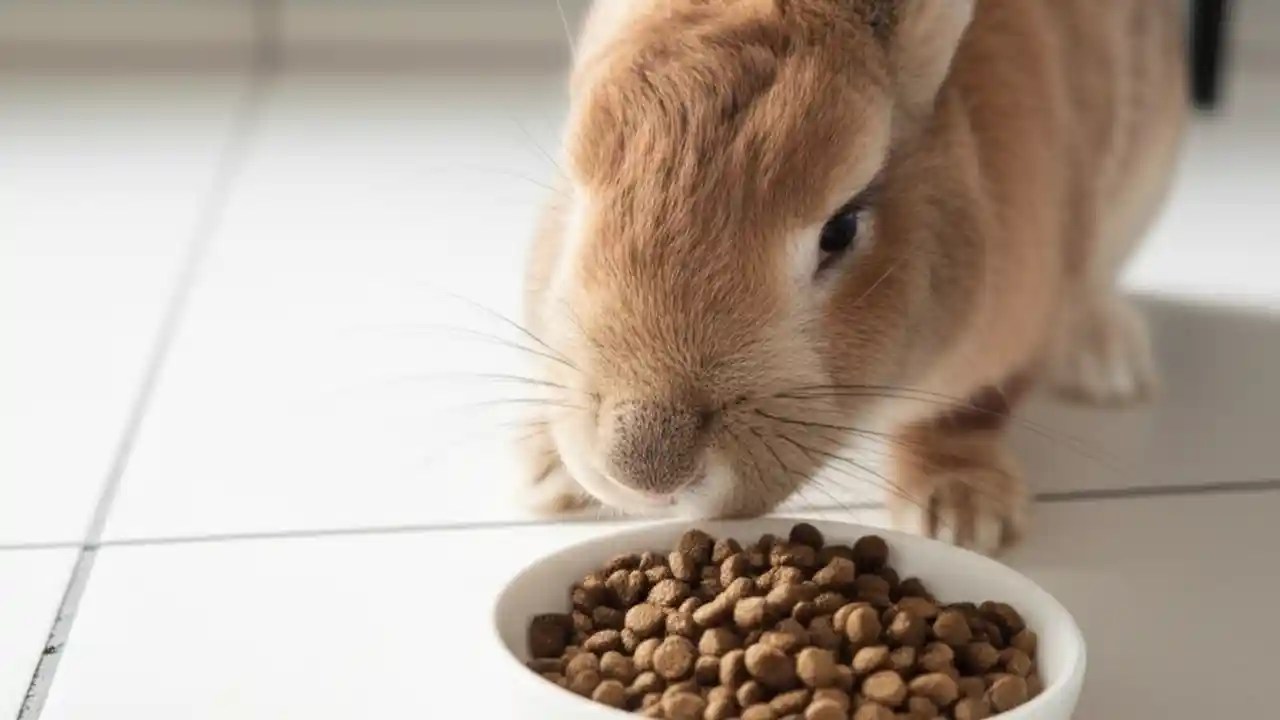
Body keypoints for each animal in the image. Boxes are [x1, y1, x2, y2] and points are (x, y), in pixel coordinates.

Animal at [517, 0, 1187, 553]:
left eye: (840, 230)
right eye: (574, 191)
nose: (647, 471)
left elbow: (965, 411)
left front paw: (960, 514)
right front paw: (545, 472)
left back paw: (1108, 361)